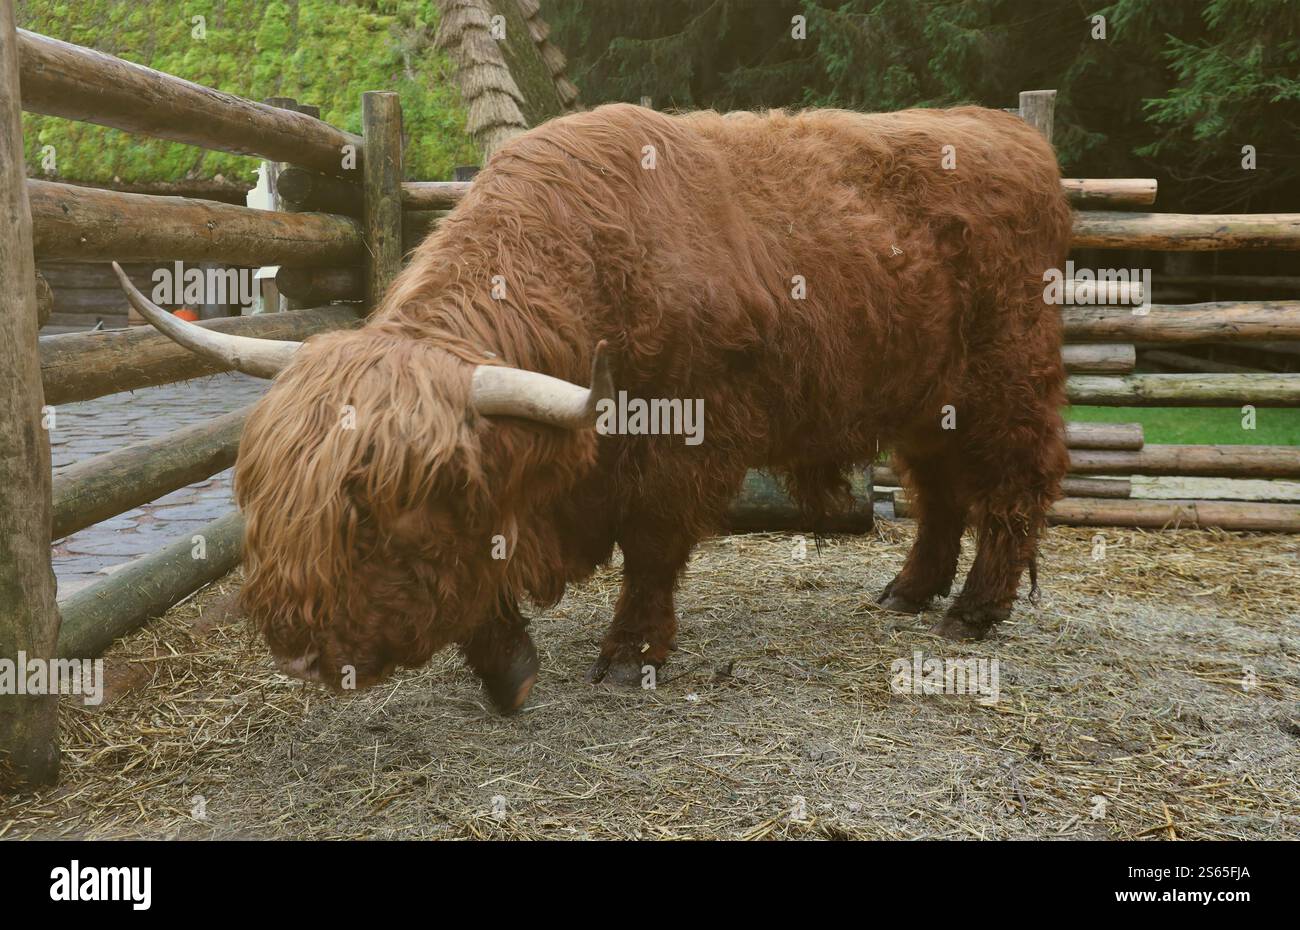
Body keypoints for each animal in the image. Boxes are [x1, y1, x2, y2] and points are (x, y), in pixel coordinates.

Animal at [115, 102, 1072, 714]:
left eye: (384, 516)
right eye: (264, 495)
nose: (293, 635)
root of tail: (1009, 130)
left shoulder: (680, 440)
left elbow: (649, 548)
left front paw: (627, 654)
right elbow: (486, 562)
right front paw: (510, 666)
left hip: (1003, 379)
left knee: (1013, 487)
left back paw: (973, 611)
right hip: (924, 397)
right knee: (939, 492)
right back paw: (909, 590)